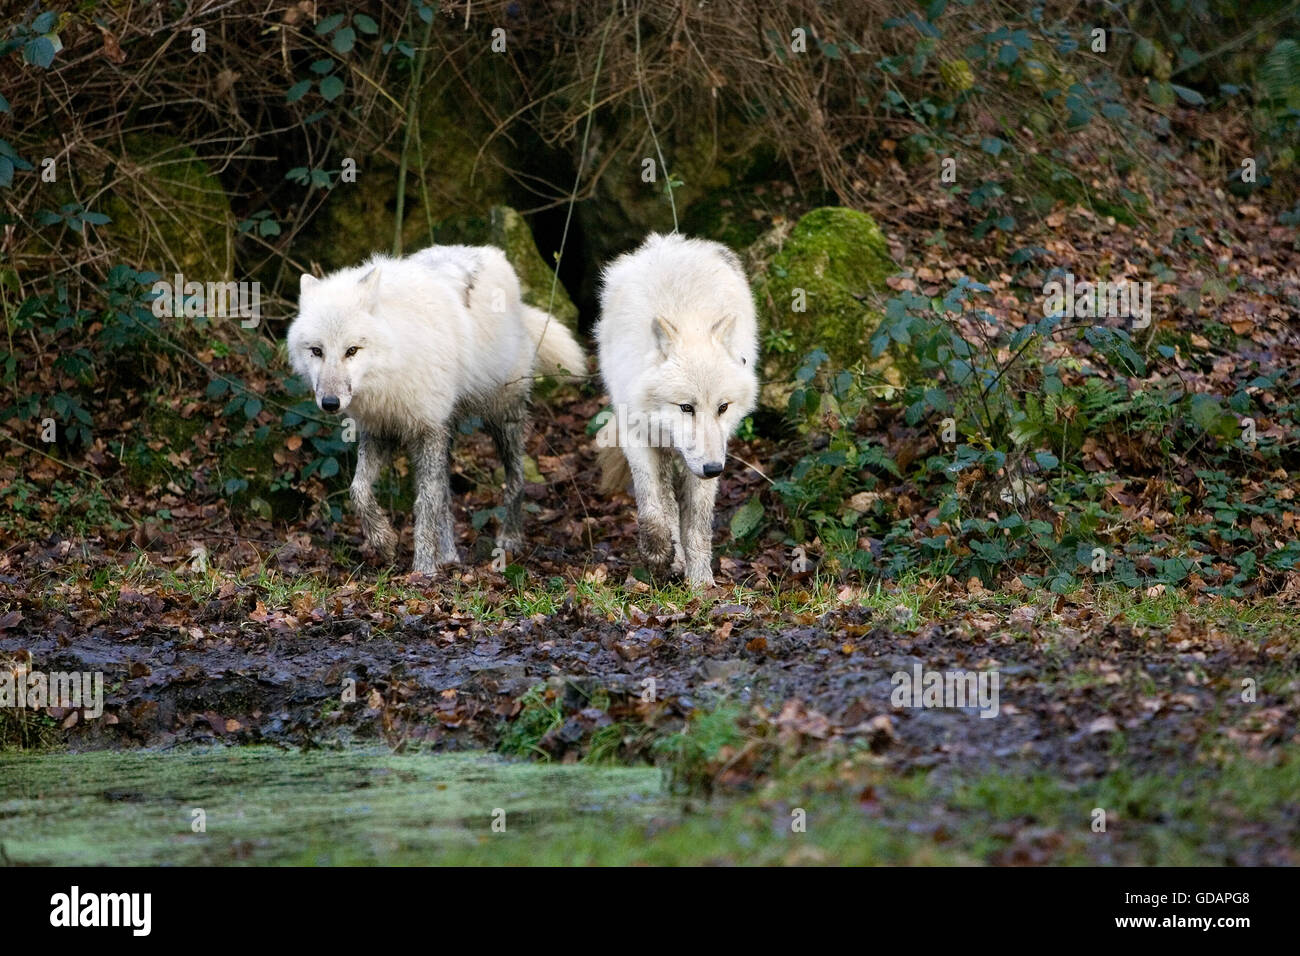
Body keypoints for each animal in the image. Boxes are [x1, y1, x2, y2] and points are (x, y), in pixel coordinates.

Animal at [288, 244, 586, 574]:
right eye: (317, 351)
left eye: (351, 350)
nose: (330, 403)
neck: (394, 361)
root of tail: (490, 252)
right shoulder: (380, 430)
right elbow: (360, 491)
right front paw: (384, 540)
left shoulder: (428, 429)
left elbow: (425, 501)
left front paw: (423, 568)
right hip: (448, 433)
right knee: (446, 494)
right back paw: (449, 554)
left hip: (501, 418)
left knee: (516, 480)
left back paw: (508, 537)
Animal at [593, 233, 759, 586]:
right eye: (686, 407)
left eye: (723, 407)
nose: (714, 469)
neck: (688, 319)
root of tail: (672, 242)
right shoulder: (636, 434)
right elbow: (653, 508)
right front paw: (659, 555)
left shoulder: (711, 453)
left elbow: (697, 525)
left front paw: (701, 584)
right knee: (665, 501)